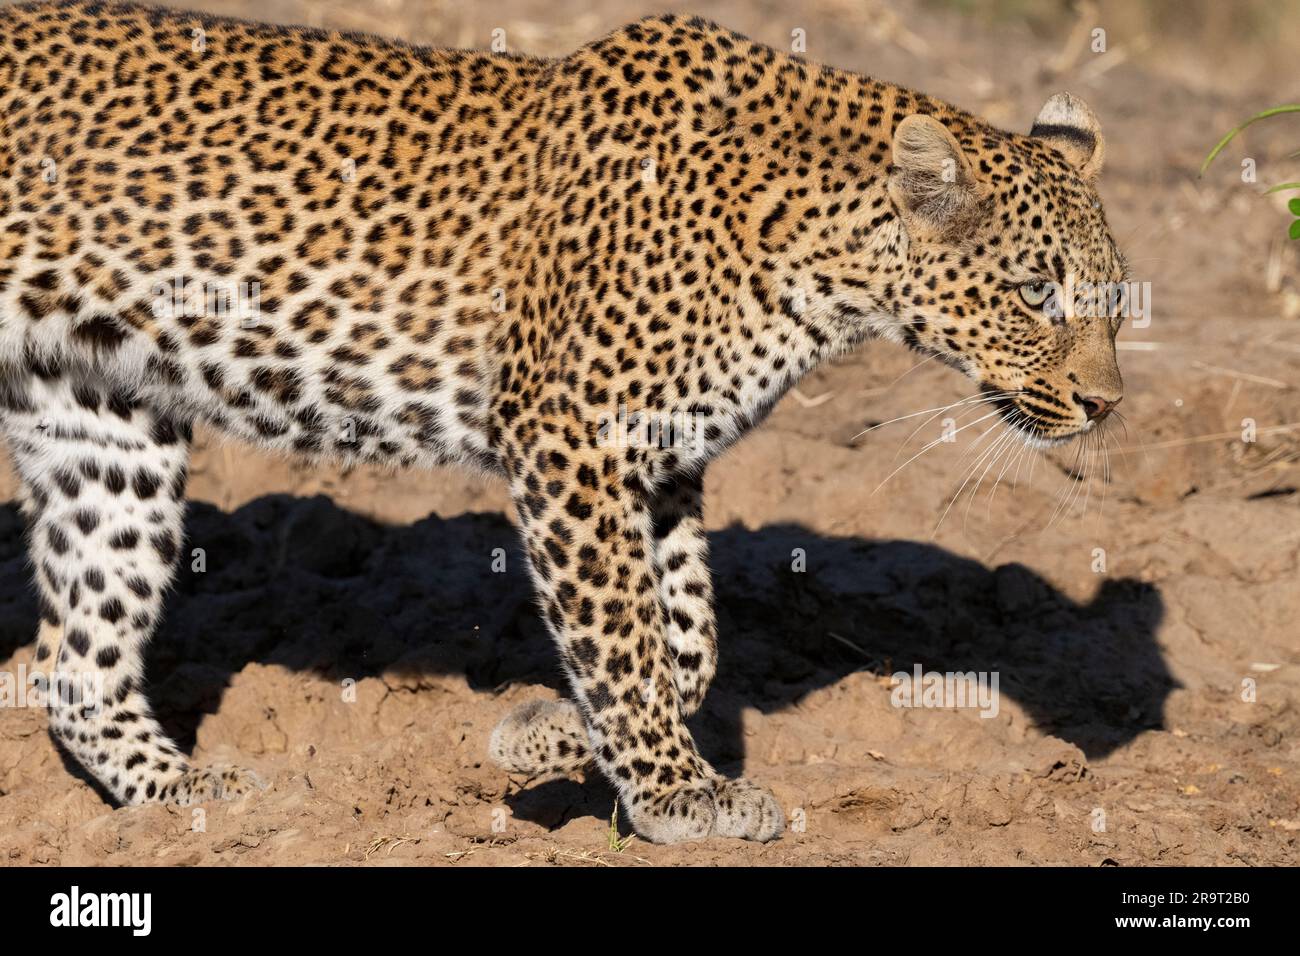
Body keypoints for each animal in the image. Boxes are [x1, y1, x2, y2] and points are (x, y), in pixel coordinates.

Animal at [0, 0, 1127, 843]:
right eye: (1034, 293)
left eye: (1116, 300)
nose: (1106, 405)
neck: (821, 262)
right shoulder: (571, 439)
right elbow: (625, 634)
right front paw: (679, 795)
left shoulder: (664, 459)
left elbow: (686, 637)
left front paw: (545, 736)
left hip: (105, 427)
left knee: (77, 667)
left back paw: (189, 798)